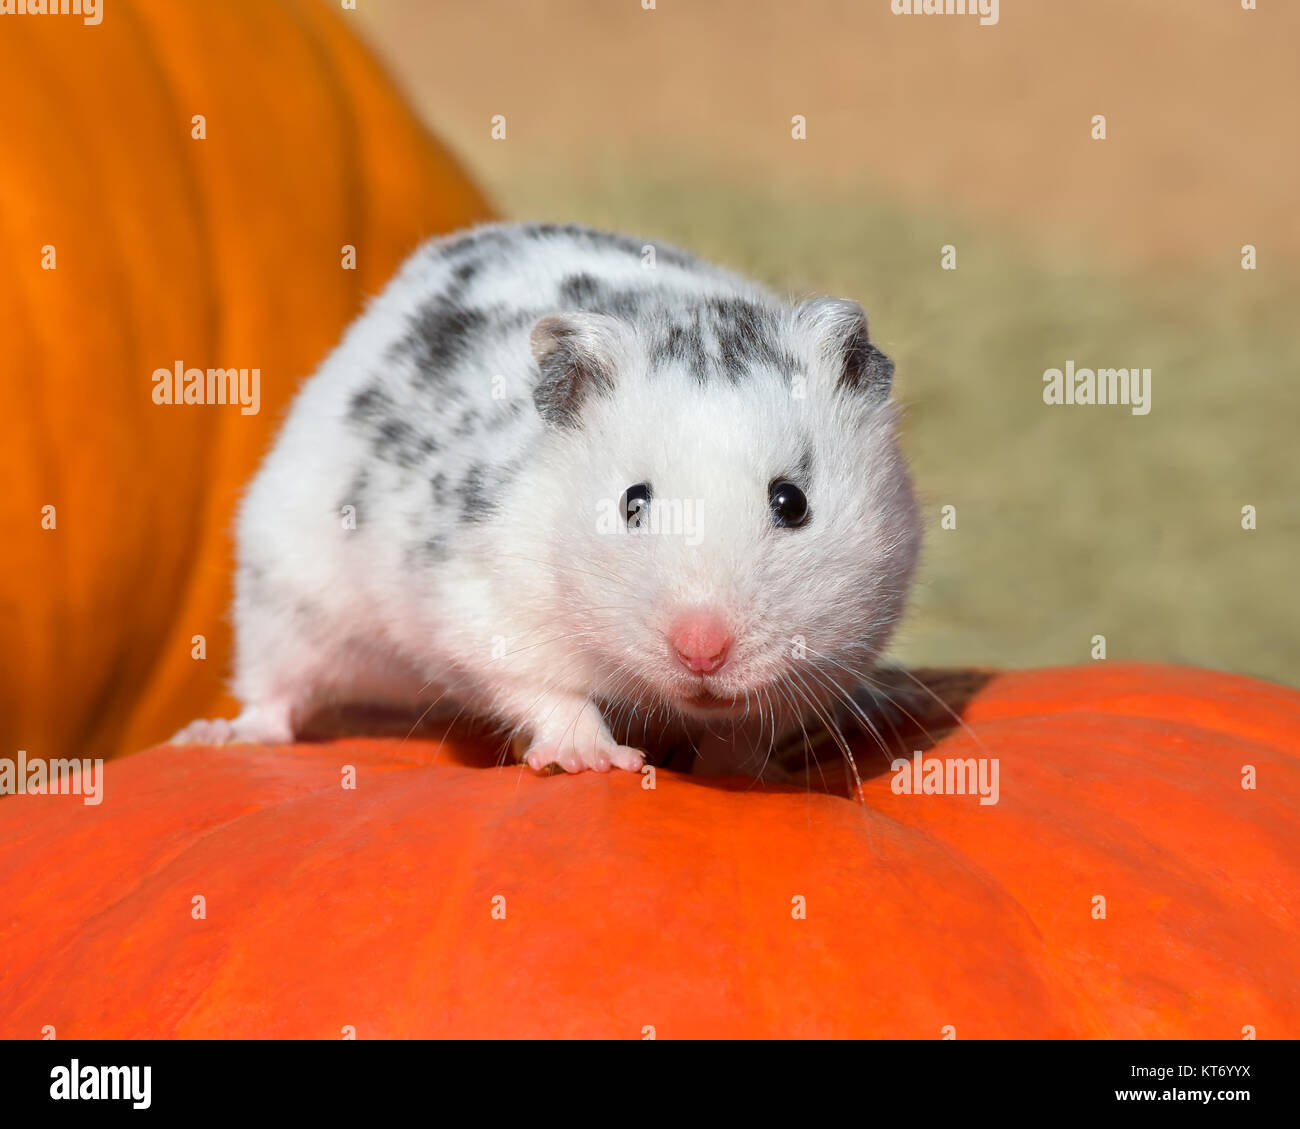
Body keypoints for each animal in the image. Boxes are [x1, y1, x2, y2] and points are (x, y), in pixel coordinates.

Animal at [173, 222, 922, 776]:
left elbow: (749, 732)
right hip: (284, 588)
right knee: (272, 691)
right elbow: (549, 691)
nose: (701, 652)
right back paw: (215, 736)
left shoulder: (842, 647)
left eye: (792, 502)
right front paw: (594, 760)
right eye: (632, 502)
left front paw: (741, 773)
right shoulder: (486, 613)